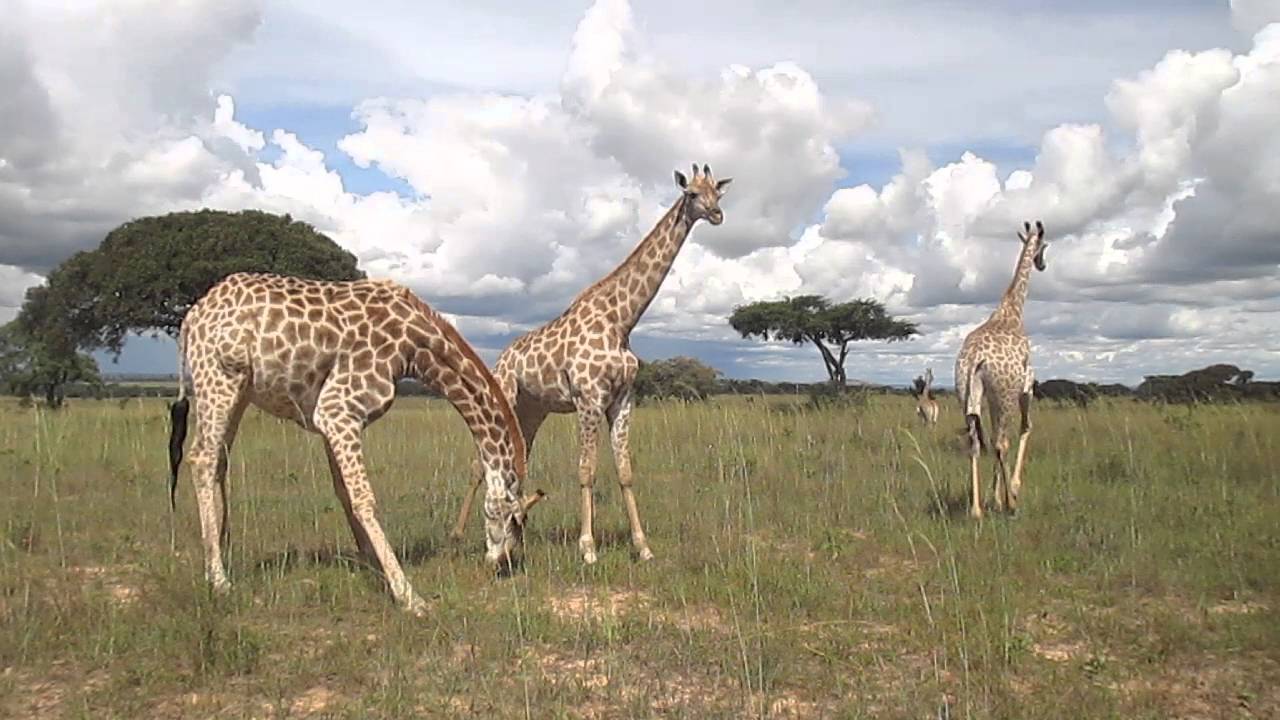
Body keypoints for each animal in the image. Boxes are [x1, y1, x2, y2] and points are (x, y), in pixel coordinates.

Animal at [166, 272, 543, 614]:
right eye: (514, 519)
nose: (502, 563)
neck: (414, 348)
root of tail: (191, 318)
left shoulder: (330, 419)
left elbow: (345, 494)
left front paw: (372, 566)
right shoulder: (339, 411)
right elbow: (364, 499)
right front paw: (408, 596)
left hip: (239, 391)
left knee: (219, 461)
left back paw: (218, 555)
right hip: (219, 379)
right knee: (202, 458)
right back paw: (219, 580)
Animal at [451, 163, 732, 564]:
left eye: (718, 194)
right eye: (691, 193)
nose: (717, 214)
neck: (620, 321)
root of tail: (503, 357)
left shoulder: (623, 400)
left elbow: (625, 470)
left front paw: (643, 547)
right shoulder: (589, 398)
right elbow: (586, 470)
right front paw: (588, 548)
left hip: (533, 410)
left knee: (519, 461)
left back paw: (518, 533)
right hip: (503, 397)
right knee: (480, 464)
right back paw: (459, 535)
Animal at [955, 220, 1047, 519]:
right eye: (1044, 245)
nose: (1041, 263)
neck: (1013, 310)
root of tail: (975, 359)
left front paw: (992, 498)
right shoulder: (1026, 387)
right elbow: (1026, 427)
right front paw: (1011, 491)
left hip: (966, 396)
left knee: (975, 444)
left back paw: (976, 509)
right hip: (1003, 395)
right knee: (1000, 442)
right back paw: (1011, 506)